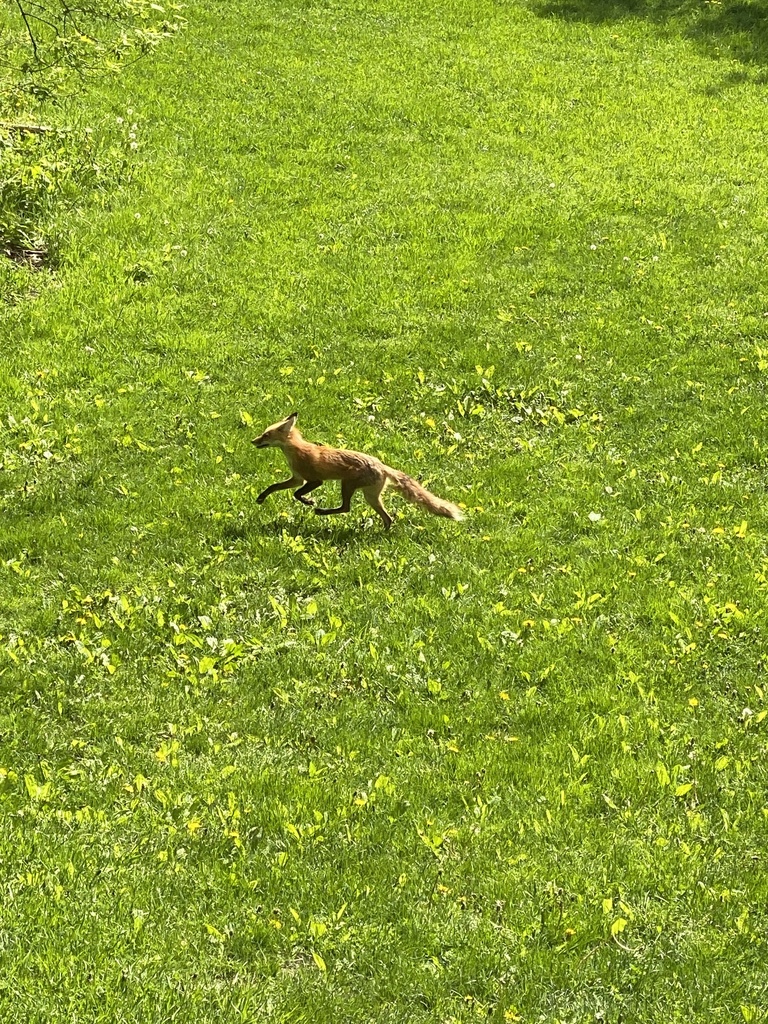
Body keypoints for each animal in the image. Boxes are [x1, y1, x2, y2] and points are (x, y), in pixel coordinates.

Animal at [252, 412, 463, 529]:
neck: (296, 450)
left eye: (266, 435)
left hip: (347, 485)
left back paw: (321, 511)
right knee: (387, 518)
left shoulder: (314, 480)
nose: (253, 441)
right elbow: (273, 487)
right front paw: (261, 498)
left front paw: (309, 501)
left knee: (346, 508)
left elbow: (297, 494)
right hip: (370, 496)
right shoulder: (297, 479)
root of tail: (382, 465)